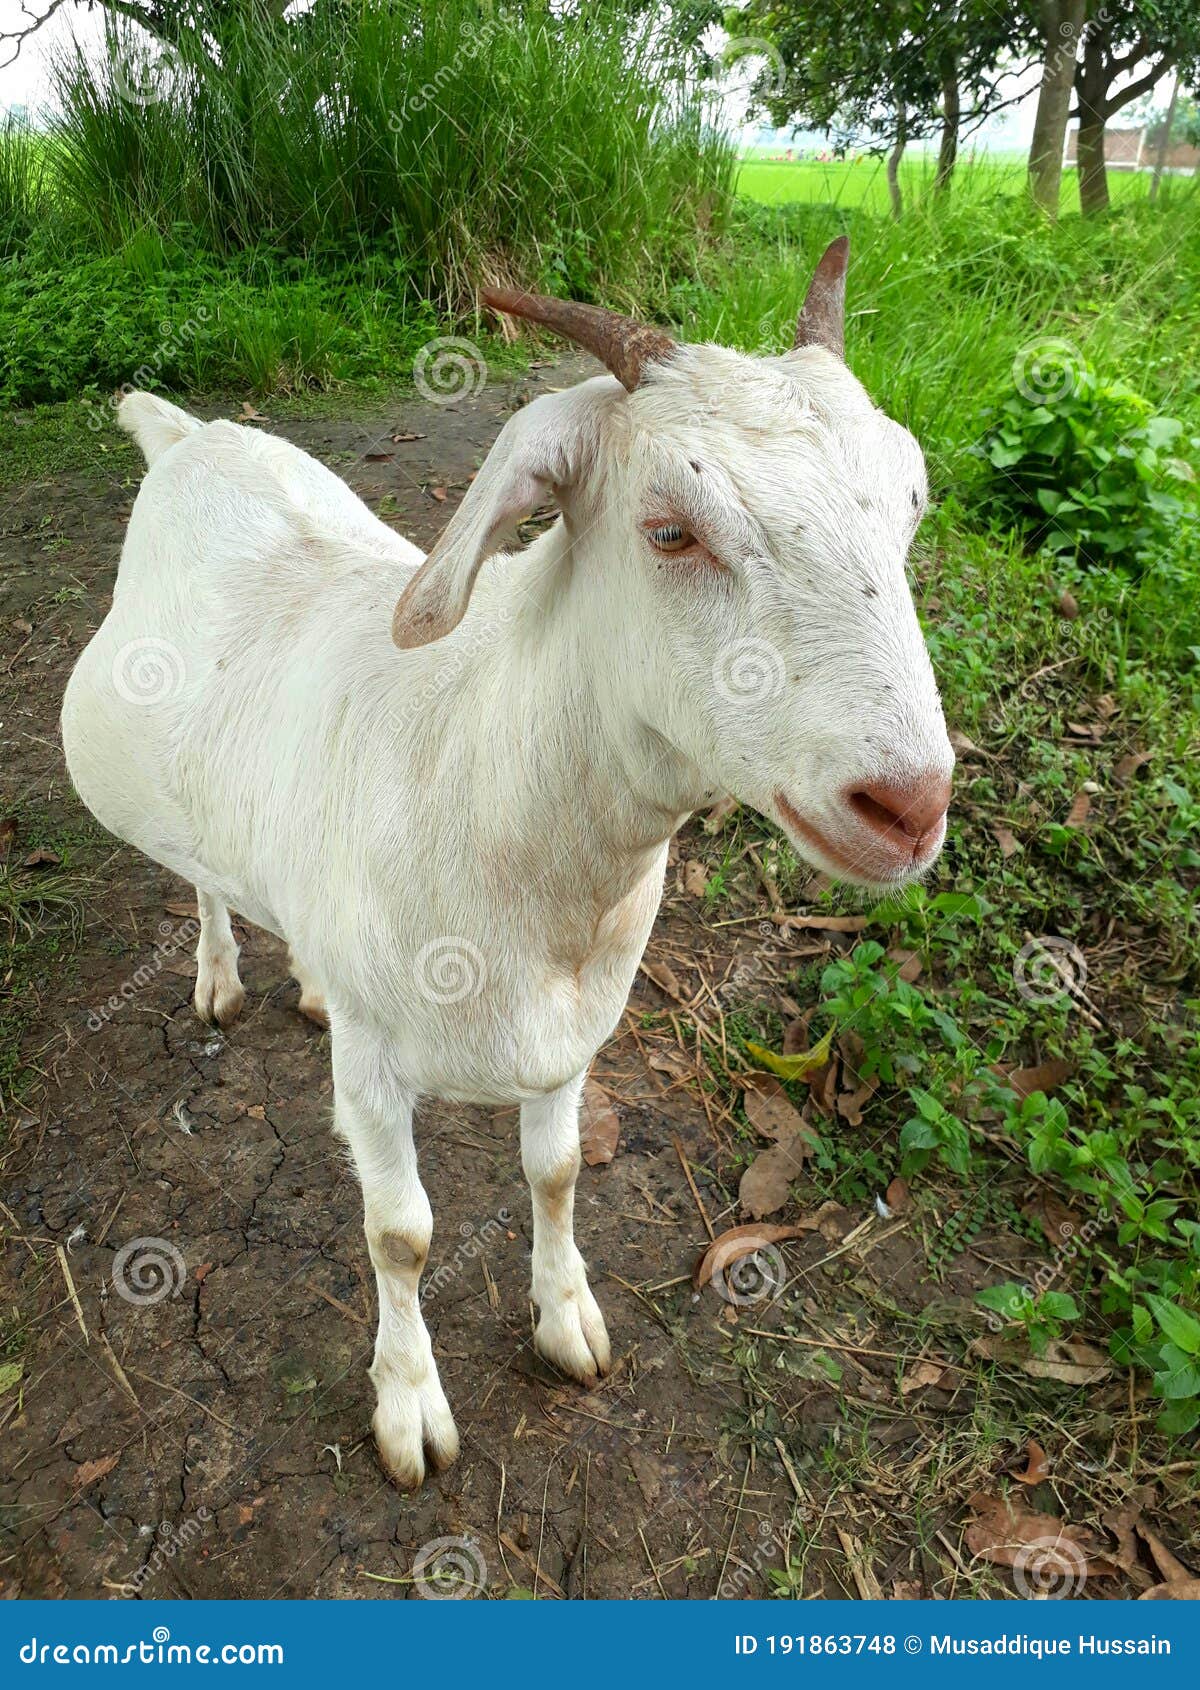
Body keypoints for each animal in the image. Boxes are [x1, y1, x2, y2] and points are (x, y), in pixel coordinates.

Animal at [61, 241, 954, 1487]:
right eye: (669, 530)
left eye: (912, 503)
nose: (909, 803)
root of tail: (190, 432)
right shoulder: (374, 1074)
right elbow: (400, 1233)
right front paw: (408, 1404)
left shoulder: (573, 1035)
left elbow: (558, 1171)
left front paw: (565, 1317)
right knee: (198, 872)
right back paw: (219, 974)